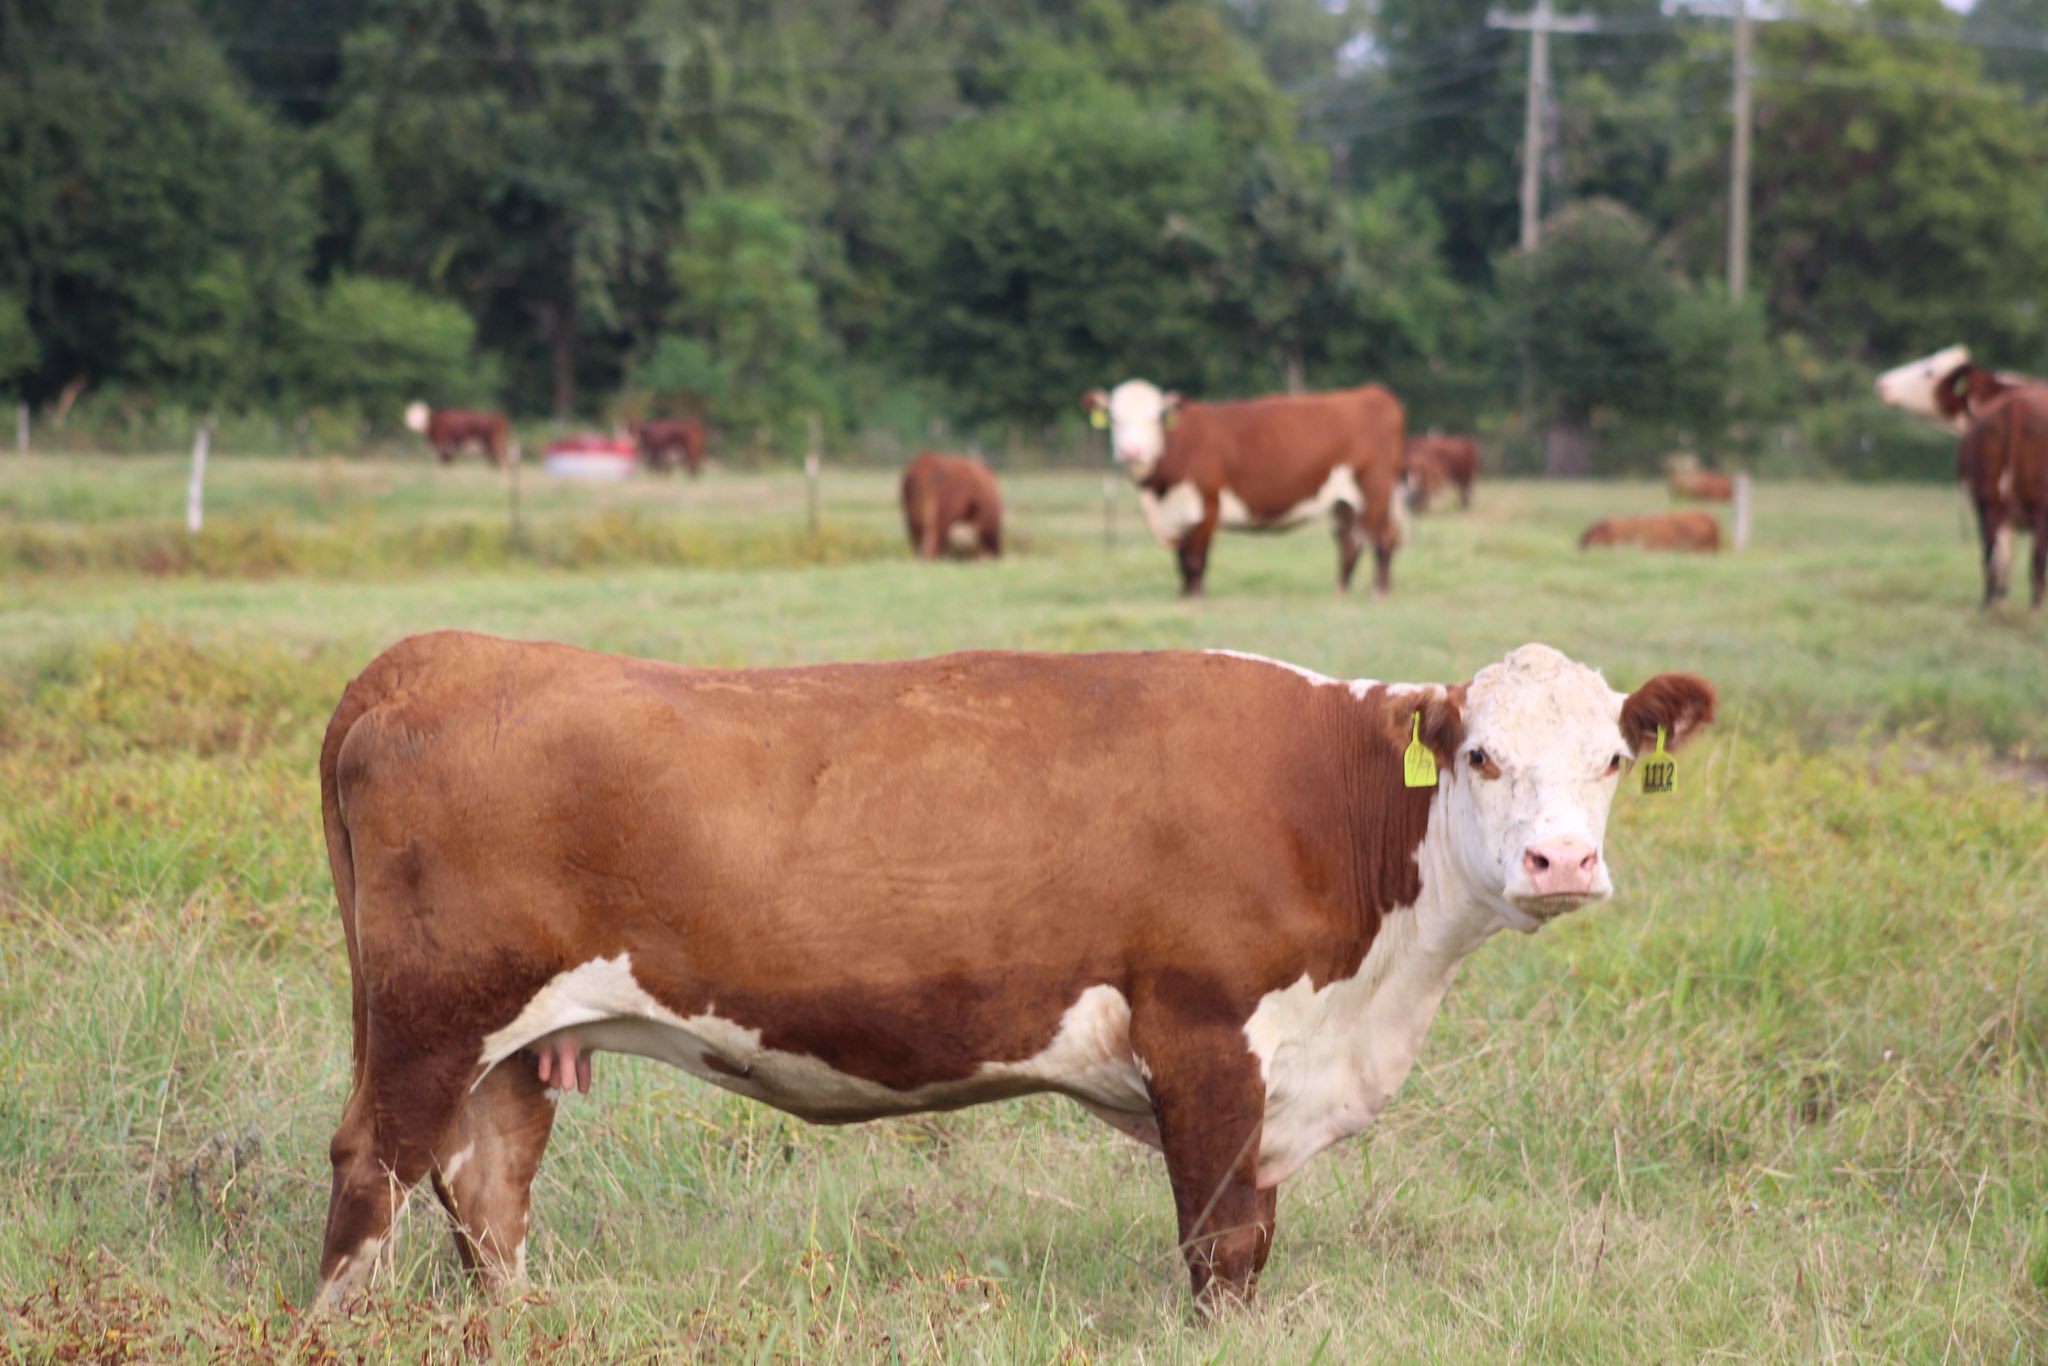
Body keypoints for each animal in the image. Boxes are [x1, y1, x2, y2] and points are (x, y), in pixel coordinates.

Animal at [310, 631, 1715, 1313]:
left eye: (1607, 758)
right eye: (1479, 754)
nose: (1559, 860)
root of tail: (434, 655)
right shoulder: (1206, 1042)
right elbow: (1222, 1253)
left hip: (508, 1044)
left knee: (487, 1192)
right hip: (430, 1017)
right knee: (372, 1171)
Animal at [1081, 379, 1406, 597]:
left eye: (1156, 417)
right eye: (1114, 418)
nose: (1131, 451)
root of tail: (1371, 392)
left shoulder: (1207, 504)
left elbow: (1194, 559)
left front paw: (1196, 597)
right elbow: (1181, 559)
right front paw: (1183, 594)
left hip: (1374, 490)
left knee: (1381, 538)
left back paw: (1379, 590)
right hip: (1344, 501)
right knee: (1350, 541)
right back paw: (1341, 589)